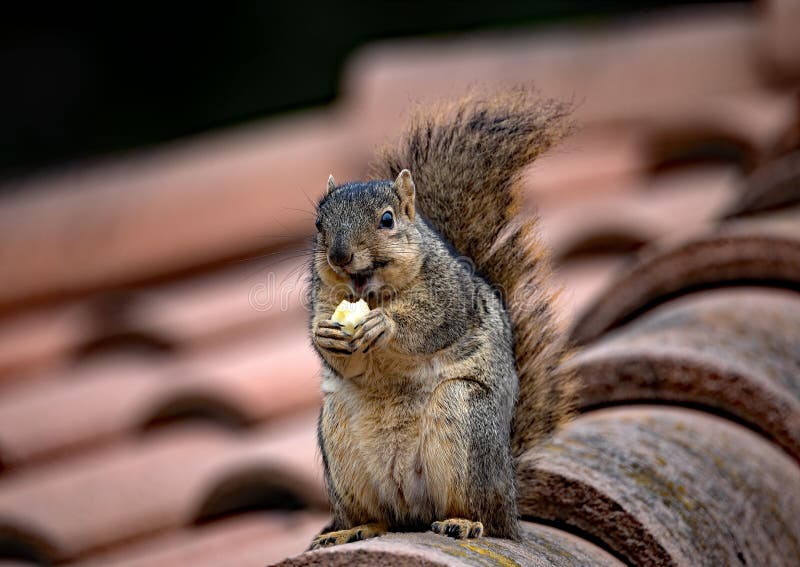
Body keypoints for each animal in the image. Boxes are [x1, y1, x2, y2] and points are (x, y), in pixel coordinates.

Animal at [307, 89, 576, 549]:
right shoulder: (323, 297)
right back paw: (354, 528)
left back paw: (464, 522)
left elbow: (429, 323)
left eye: (387, 219)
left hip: (464, 422)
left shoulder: (450, 295)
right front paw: (326, 334)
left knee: (481, 515)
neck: (376, 294)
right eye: (319, 225)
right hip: (340, 442)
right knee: (384, 519)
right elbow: (340, 356)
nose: (339, 256)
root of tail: (511, 498)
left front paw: (385, 325)